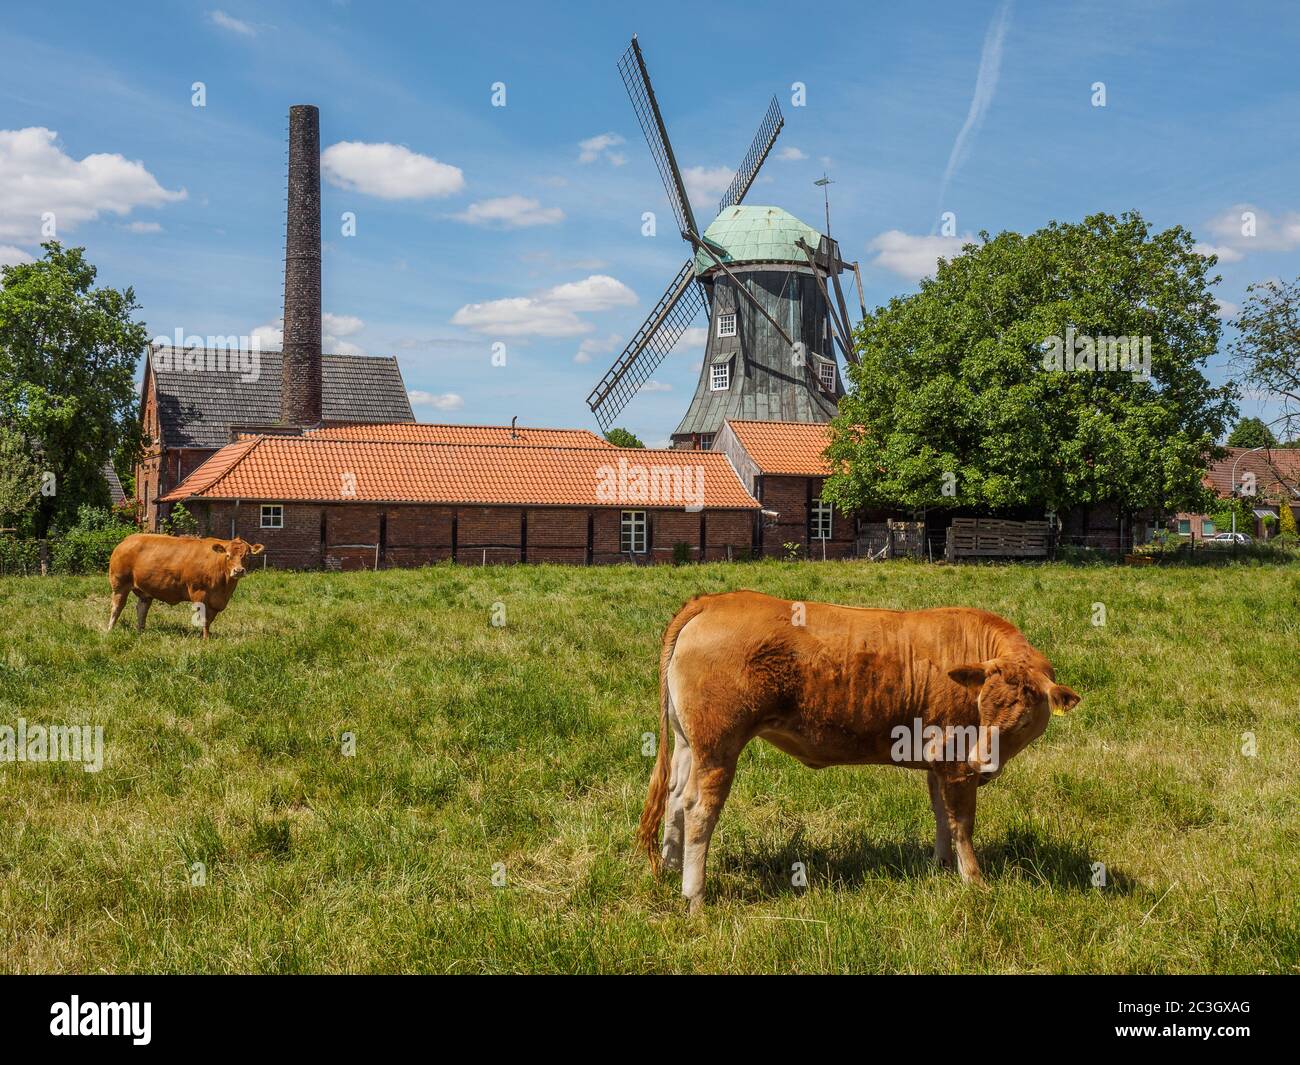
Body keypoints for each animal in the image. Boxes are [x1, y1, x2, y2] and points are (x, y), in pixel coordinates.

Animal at [107, 534, 264, 639]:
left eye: (247, 555)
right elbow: (204, 618)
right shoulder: (199, 593)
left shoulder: (216, 601)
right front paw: (205, 639)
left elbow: (210, 619)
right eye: (228, 555)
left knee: (142, 609)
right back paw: (110, 630)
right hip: (119, 584)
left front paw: (207, 635)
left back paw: (140, 631)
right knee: (117, 607)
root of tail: (127, 539)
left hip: (145, 591)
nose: (238, 571)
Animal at [637, 591, 1080, 912]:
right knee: (699, 811)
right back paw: (695, 896)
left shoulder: (938, 761)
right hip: (718, 745)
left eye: (1022, 721)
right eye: (982, 709)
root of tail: (713, 599)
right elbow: (962, 824)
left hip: (687, 743)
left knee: (676, 799)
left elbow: (941, 816)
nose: (982, 764)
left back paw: (672, 867)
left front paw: (940, 867)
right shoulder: (955, 761)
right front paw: (974, 880)